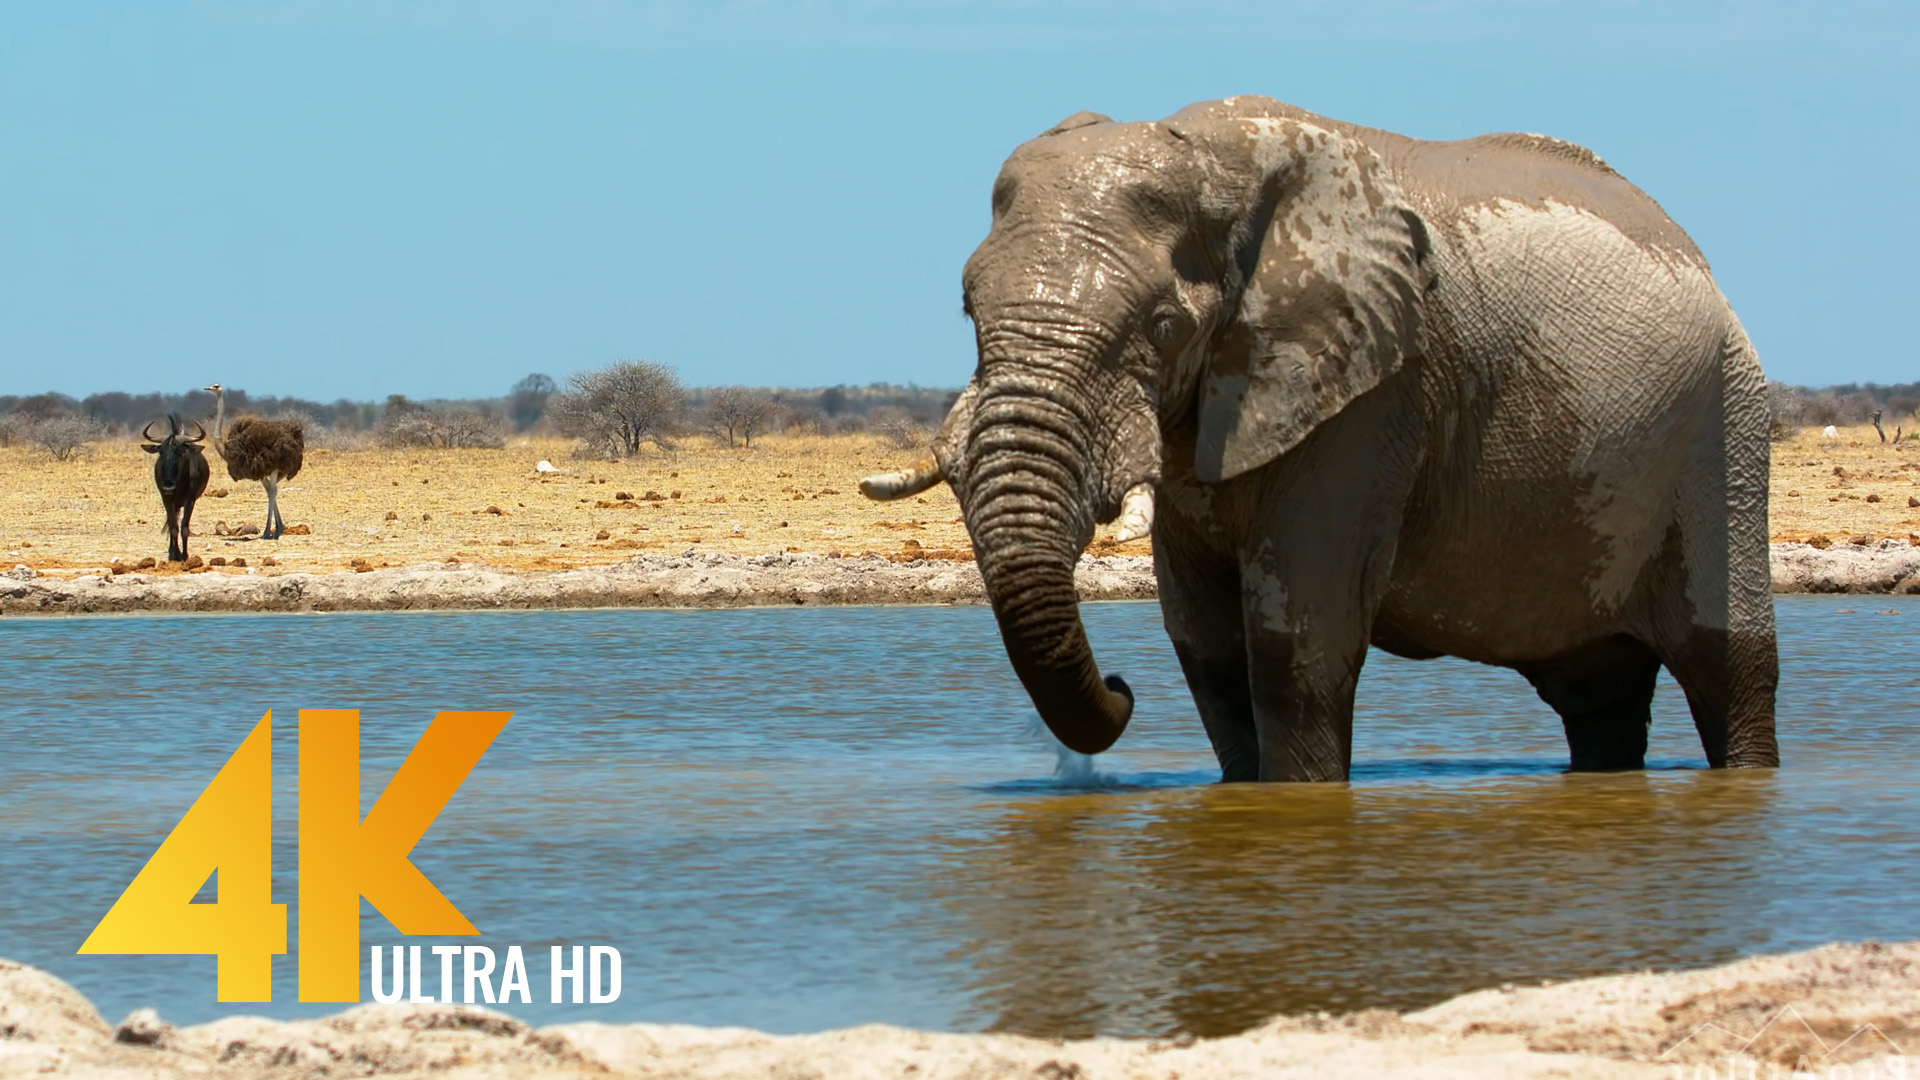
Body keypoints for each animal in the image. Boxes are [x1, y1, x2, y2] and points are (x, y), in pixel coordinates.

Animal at [860, 96, 1779, 781]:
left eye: (1162, 326)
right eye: (968, 311)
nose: (1120, 689)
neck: (1219, 160)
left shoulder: (1375, 396)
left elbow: (1294, 644)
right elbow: (1209, 649)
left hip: (1723, 423)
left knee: (1729, 670)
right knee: (1599, 697)